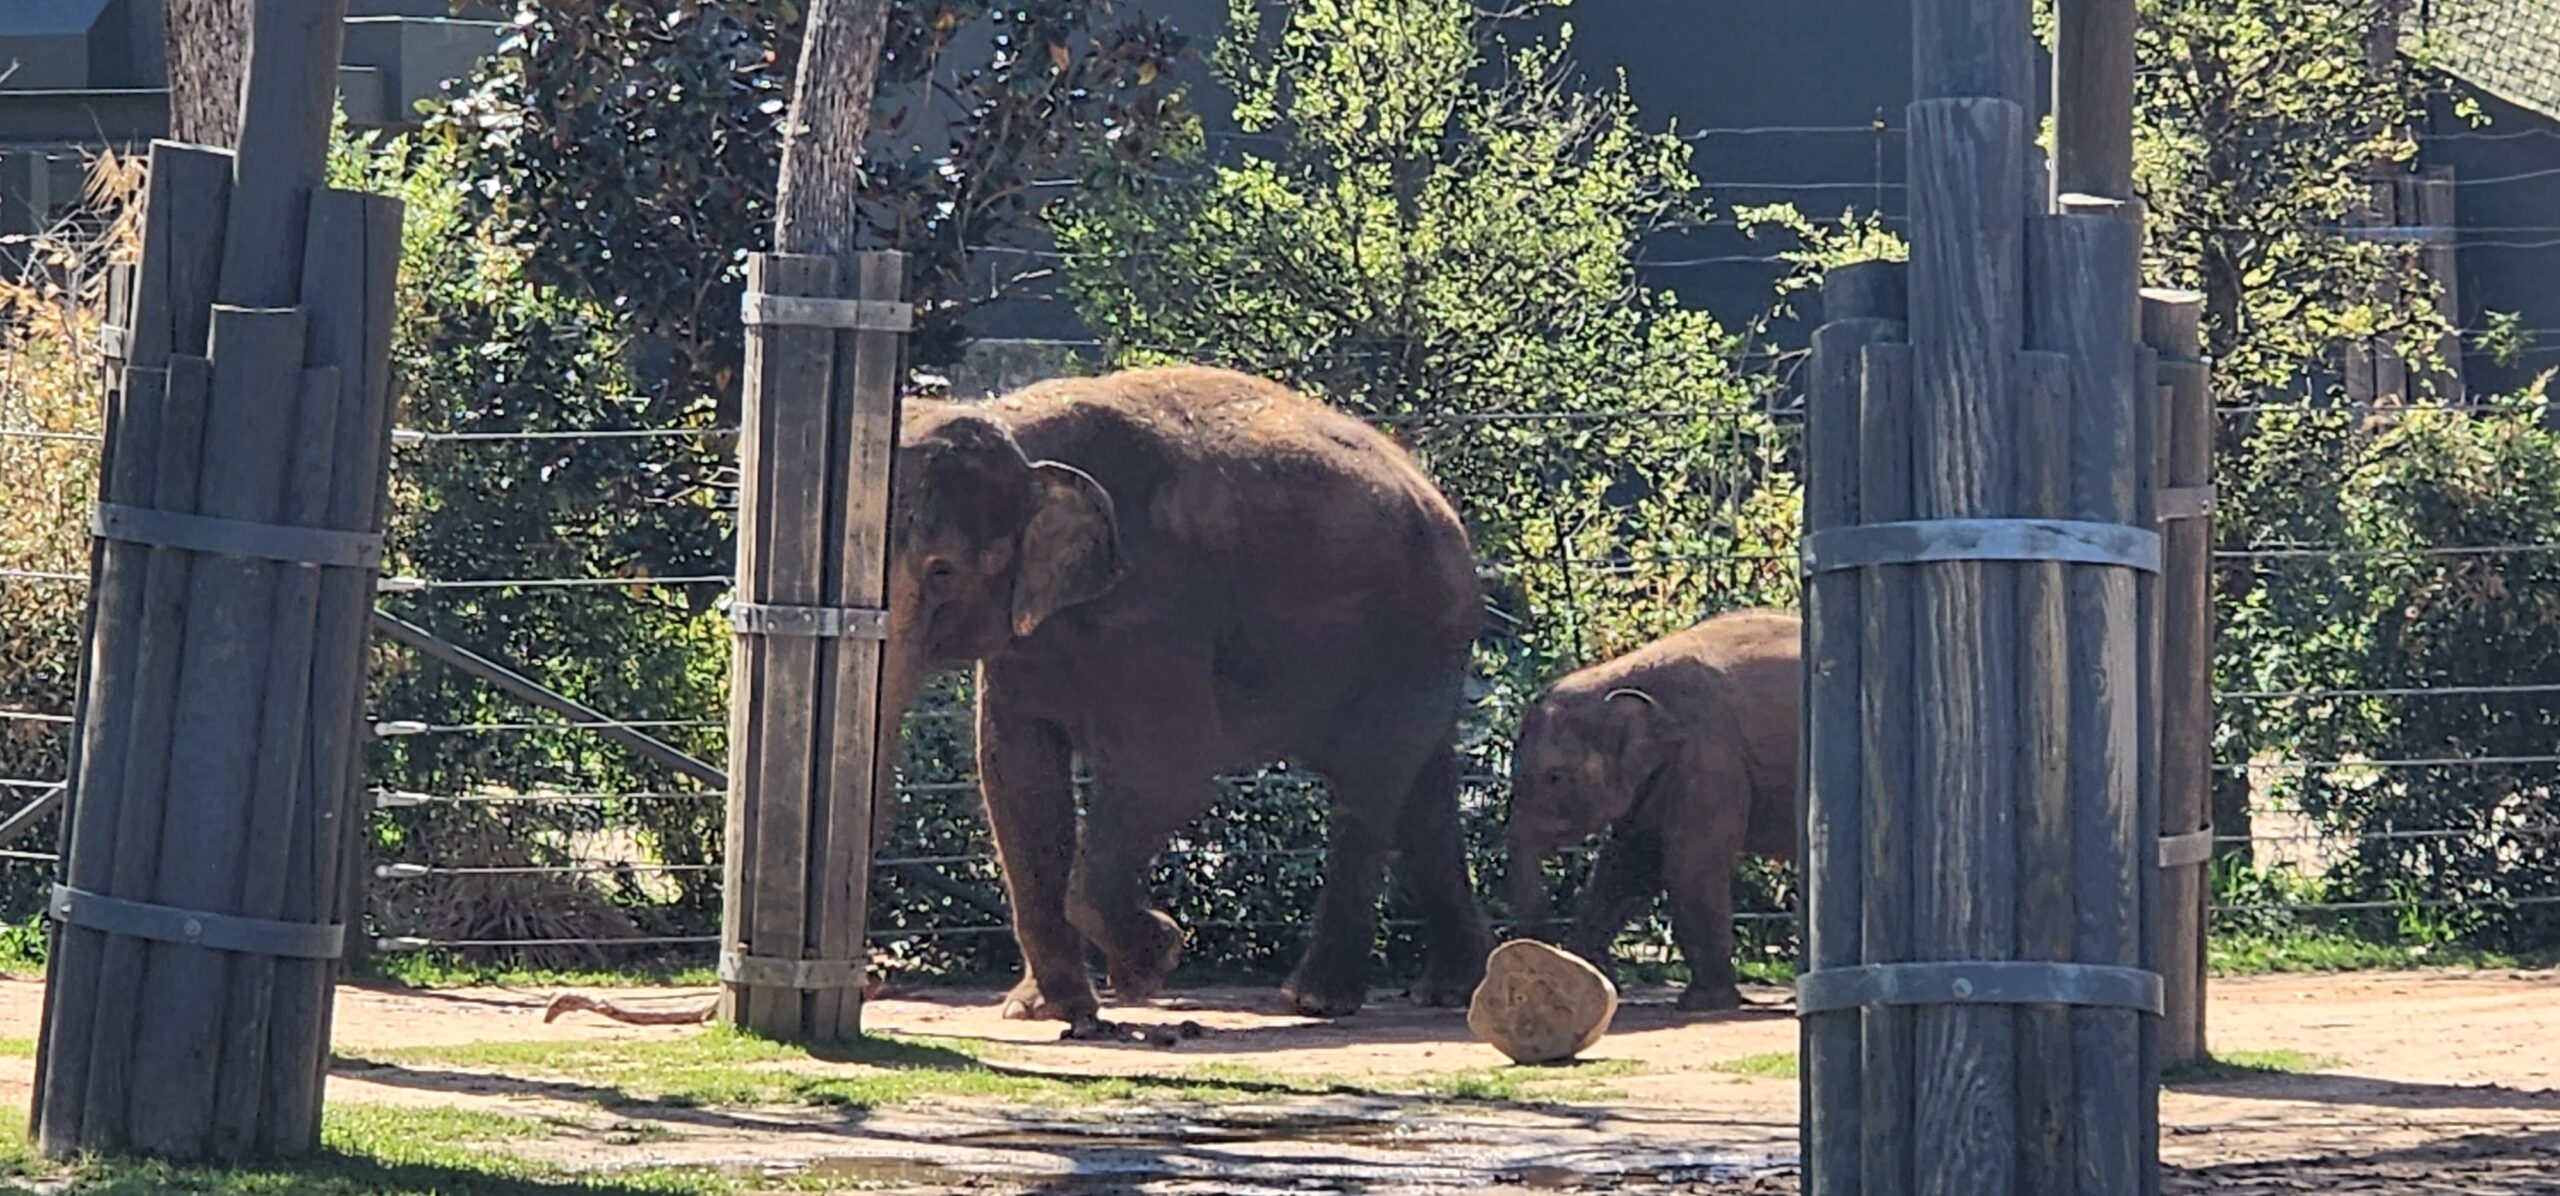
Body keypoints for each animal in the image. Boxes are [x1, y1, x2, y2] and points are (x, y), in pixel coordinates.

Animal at [876, 363, 1495, 1032]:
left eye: (941, 570)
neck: (1019, 431)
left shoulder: (1157, 603)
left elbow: (1170, 770)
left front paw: (1153, 963)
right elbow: (1017, 778)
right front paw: (1044, 1010)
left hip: (1413, 636)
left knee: (1369, 788)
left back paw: (1316, 1000)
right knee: (1424, 793)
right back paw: (1454, 991)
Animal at [1505, 608, 1800, 1011]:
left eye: (1554, 776)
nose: (1540, 948)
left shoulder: (1709, 753)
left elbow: (1688, 865)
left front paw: (1703, 1002)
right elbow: (1630, 861)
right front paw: (1592, 979)